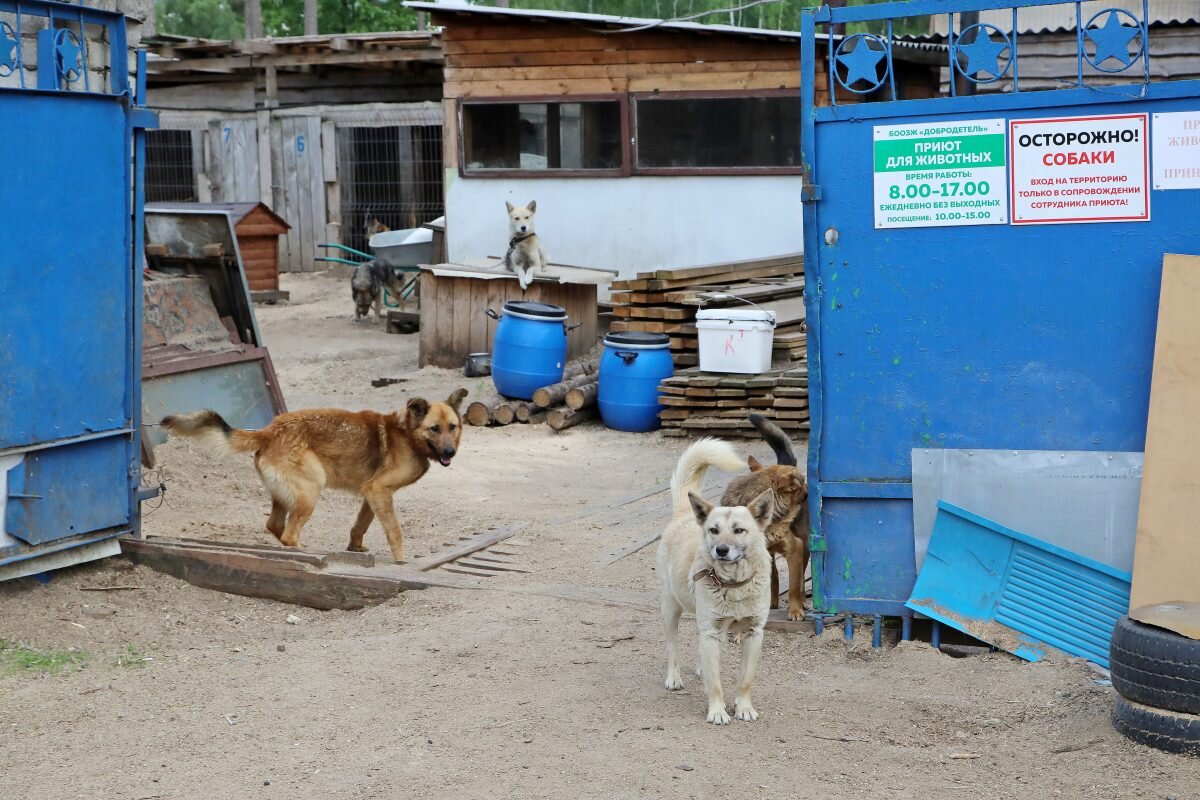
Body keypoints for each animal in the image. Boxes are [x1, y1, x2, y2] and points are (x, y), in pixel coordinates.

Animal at [652, 438, 772, 724]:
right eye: (713, 530)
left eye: (739, 530)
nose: (721, 550)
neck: (734, 585)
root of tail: (684, 512)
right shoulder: (711, 630)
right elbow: (715, 682)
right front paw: (717, 712)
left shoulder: (753, 633)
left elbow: (745, 680)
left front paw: (744, 708)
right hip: (670, 608)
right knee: (672, 648)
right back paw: (674, 678)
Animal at [720, 417, 806, 623]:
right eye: (799, 486)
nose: (809, 493)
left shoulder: (795, 549)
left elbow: (793, 586)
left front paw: (795, 610)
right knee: (773, 575)